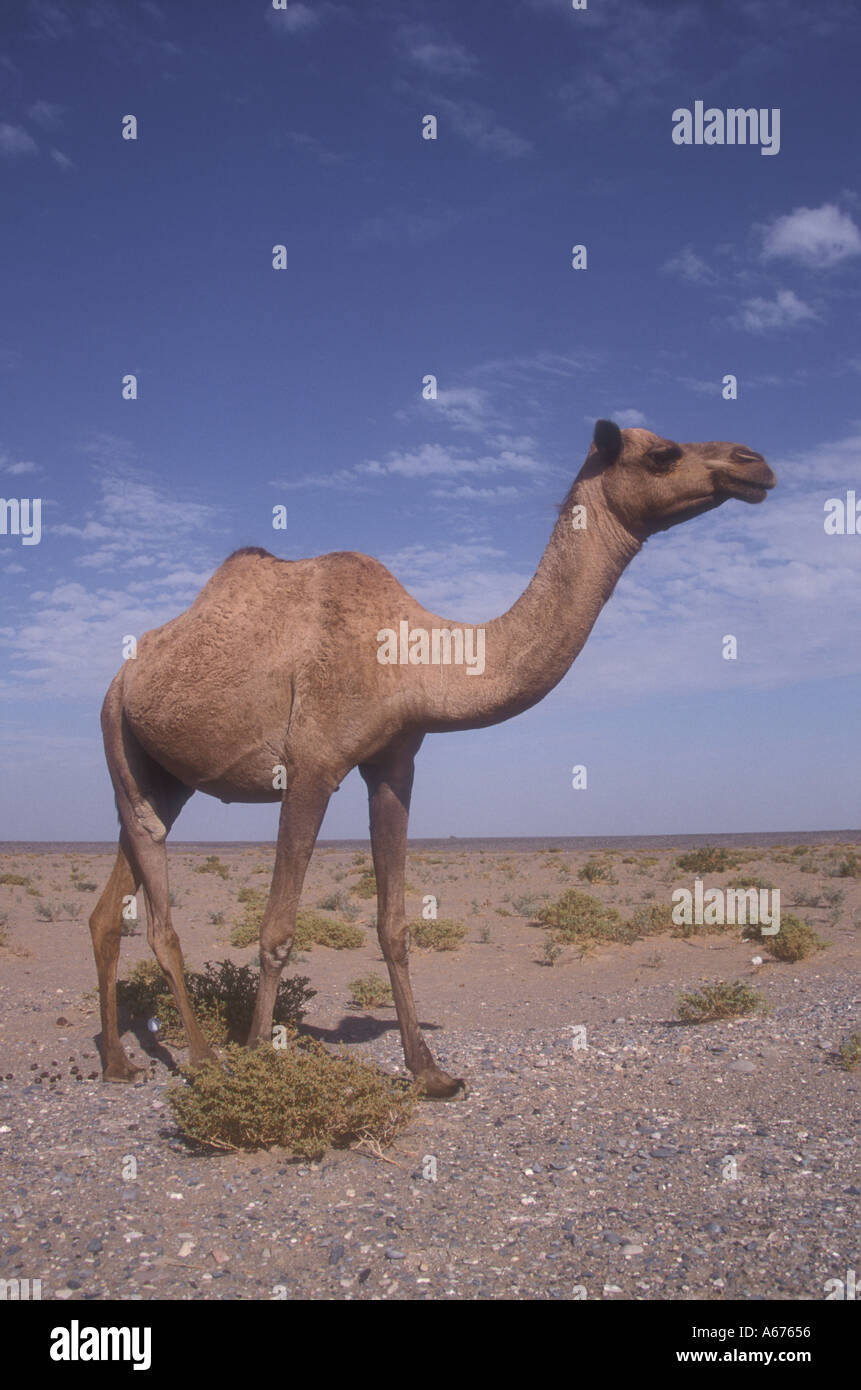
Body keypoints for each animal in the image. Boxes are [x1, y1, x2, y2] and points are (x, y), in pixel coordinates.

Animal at [89, 420, 775, 1097]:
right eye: (663, 453)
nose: (755, 462)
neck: (414, 660)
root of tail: (124, 673)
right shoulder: (311, 766)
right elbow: (277, 928)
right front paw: (261, 1064)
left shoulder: (395, 765)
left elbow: (394, 923)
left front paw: (430, 1070)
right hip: (115, 730)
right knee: (156, 897)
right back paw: (205, 1060)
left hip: (165, 776)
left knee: (111, 901)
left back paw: (119, 1062)